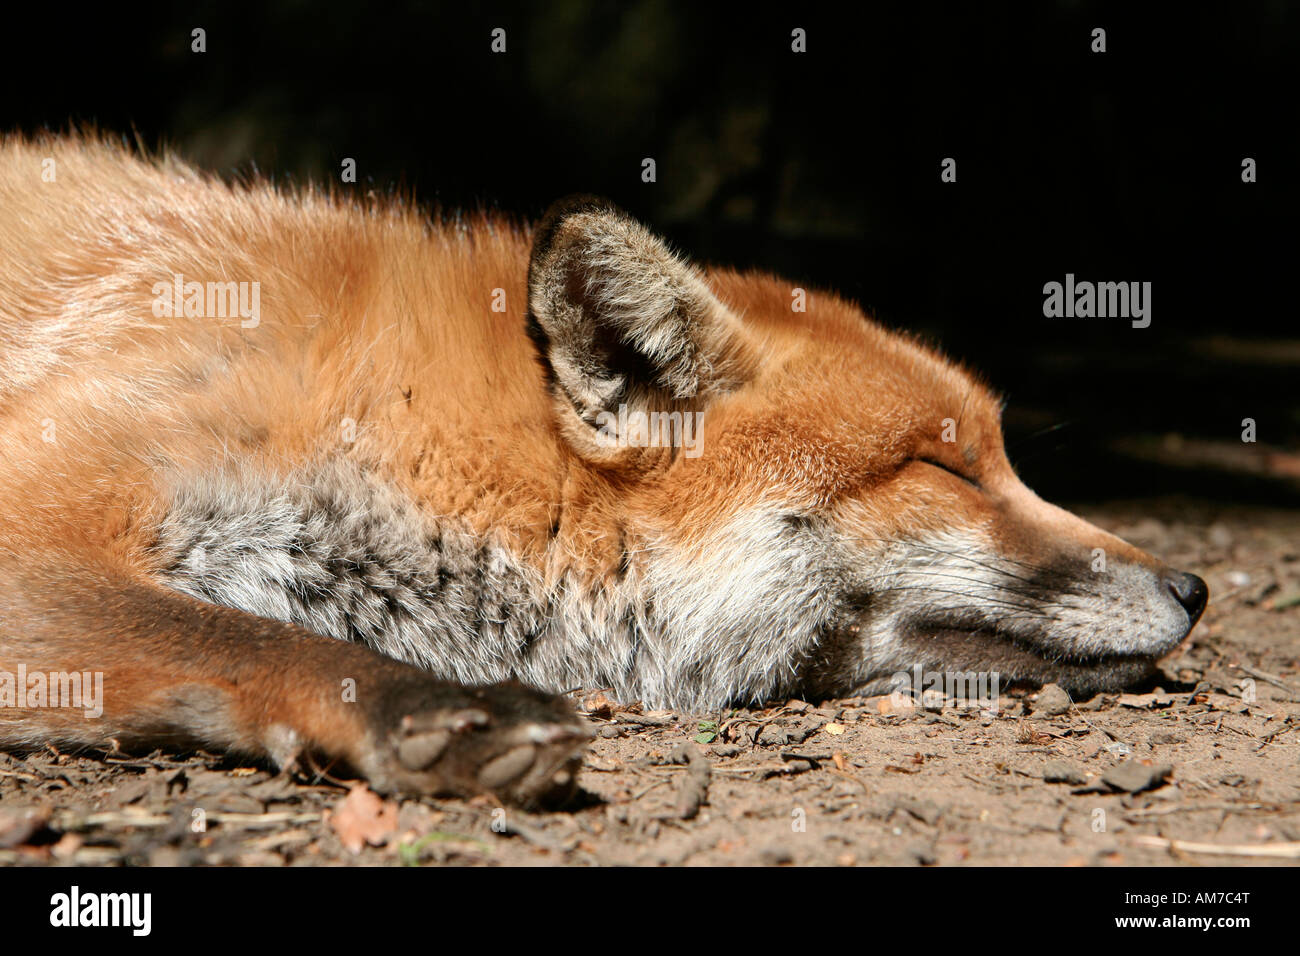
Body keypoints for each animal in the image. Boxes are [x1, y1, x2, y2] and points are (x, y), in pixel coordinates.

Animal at [0, 135, 1207, 806]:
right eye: (943, 469)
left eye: (995, 458)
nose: (1194, 587)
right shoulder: (42, 515)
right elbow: (259, 639)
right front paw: (433, 711)